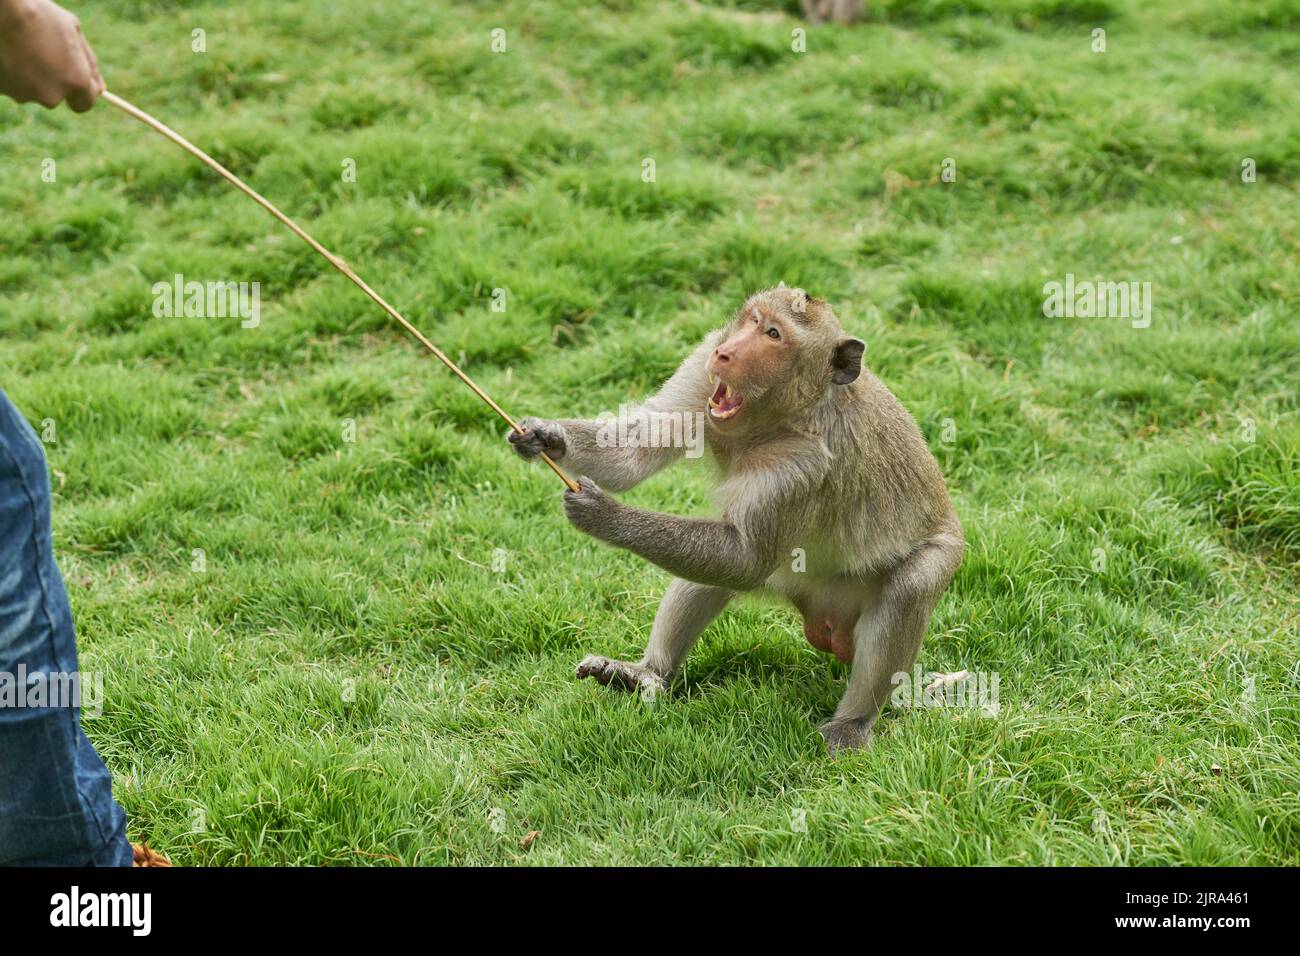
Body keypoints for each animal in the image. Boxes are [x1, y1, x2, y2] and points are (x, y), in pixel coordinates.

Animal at [507, 286, 963, 753]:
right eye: (753, 320)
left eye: (774, 335)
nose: (725, 353)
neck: (782, 415)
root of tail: (823, 617)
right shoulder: (701, 374)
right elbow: (635, 449)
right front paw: (545, 437)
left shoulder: (802, 465)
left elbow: (744, 557)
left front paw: (606, 515)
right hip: (787, 576)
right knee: (708, 573)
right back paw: (648, 673)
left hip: (940, 557)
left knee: (909, 586)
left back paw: (852, 721)